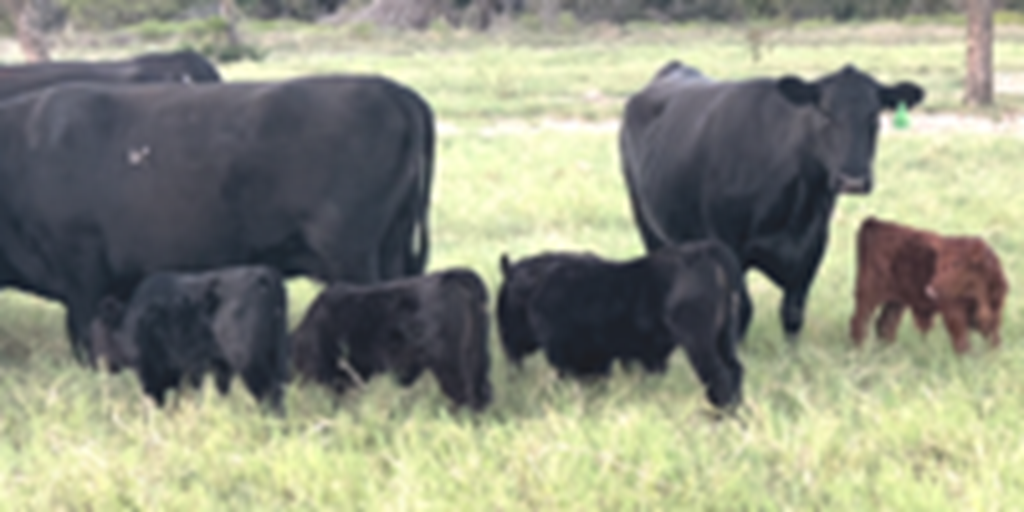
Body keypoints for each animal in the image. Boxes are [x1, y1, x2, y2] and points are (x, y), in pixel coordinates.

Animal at [89, 266, 289, 413]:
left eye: (98, 333)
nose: (98, 362)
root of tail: (263, 274)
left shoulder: (153, 372)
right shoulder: (188, 371)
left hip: (250, 363)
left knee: (269, 394)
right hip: (274, 357)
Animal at [620, 60, 925, 341]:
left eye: (875, 116)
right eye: (824, 113)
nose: (853, 180)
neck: (796, 208)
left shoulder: (813, 245)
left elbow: (793, 312)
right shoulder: (728, 243)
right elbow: (743, 311)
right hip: (645, 220)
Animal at [849, 217, 1008, 354]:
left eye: (957, 264)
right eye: (937, 265)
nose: (930, 290)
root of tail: (875, 223)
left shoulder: (995, 314)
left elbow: (994, 339)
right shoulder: (953, 313)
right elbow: (962, 341)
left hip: (895, 301)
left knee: (886, 325)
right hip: (868, 295)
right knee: (859, 321)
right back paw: (860, 351)